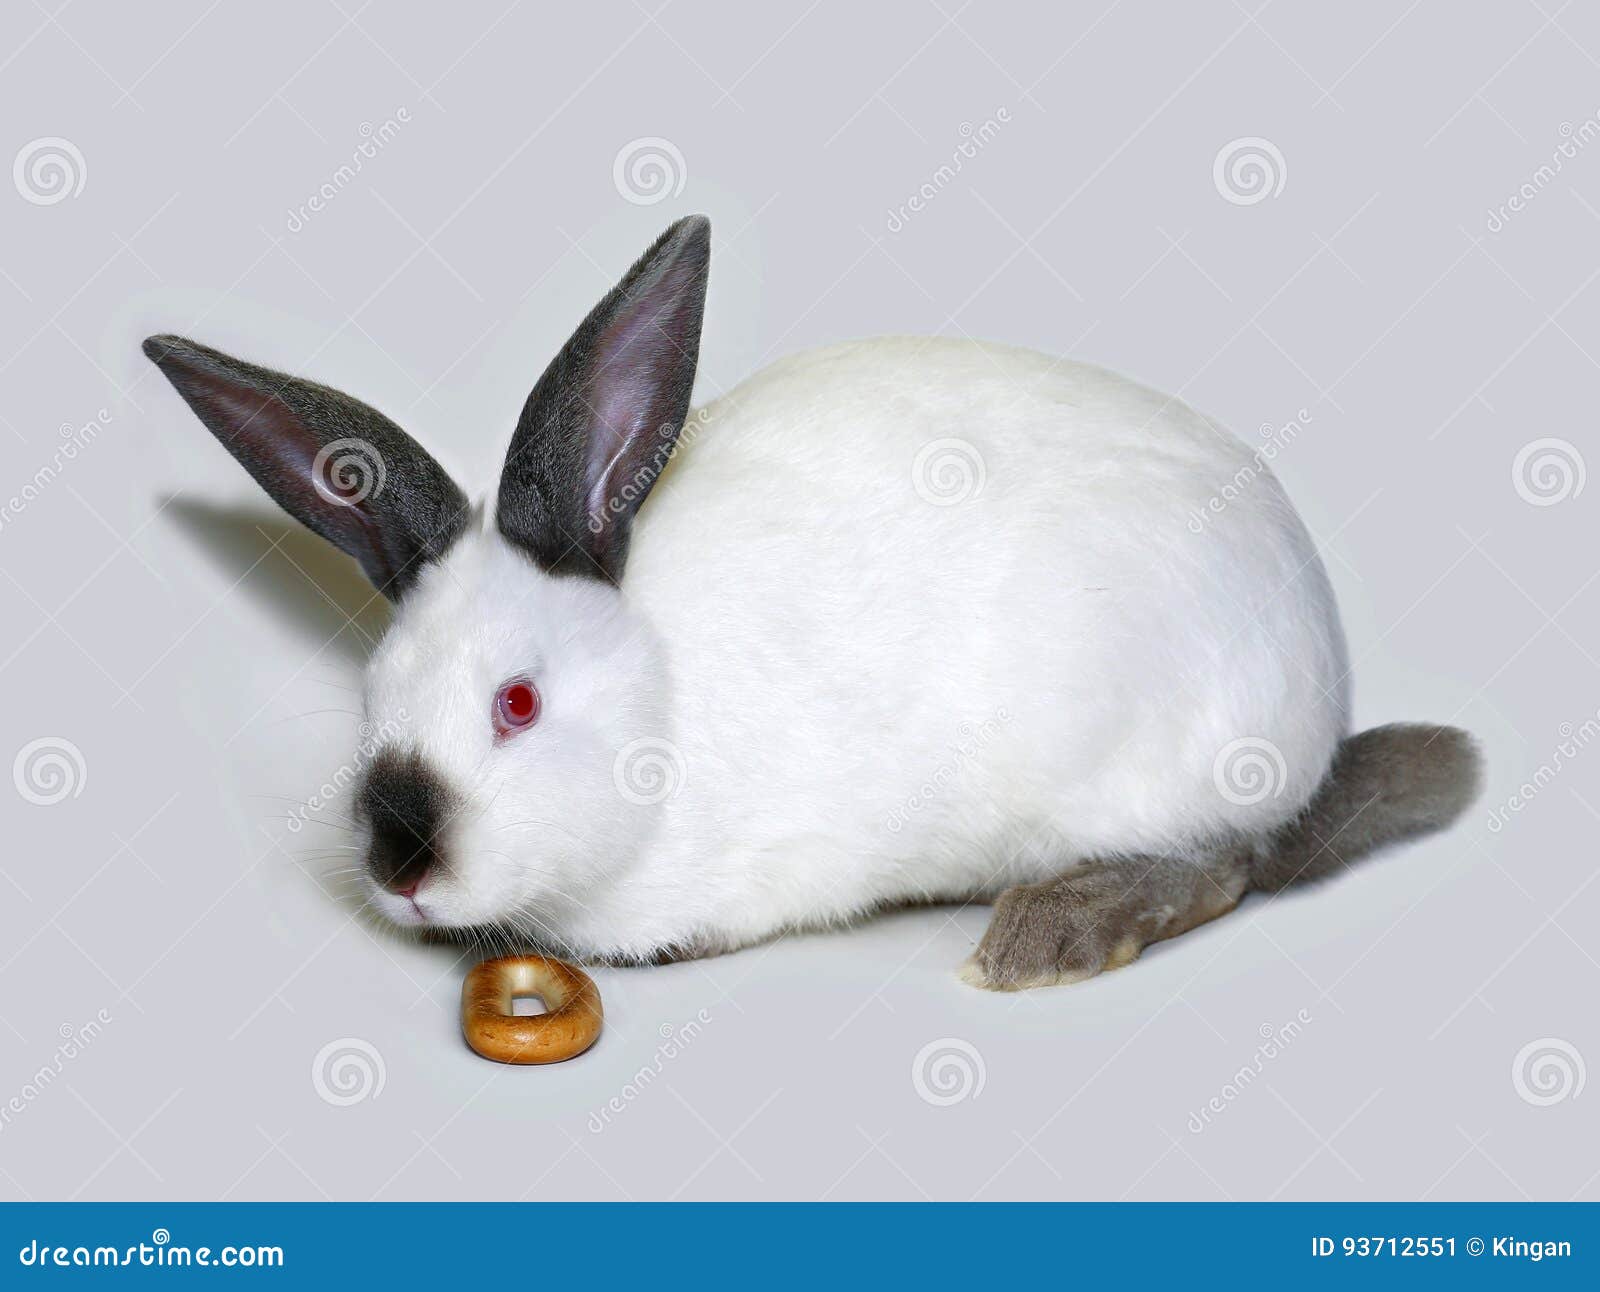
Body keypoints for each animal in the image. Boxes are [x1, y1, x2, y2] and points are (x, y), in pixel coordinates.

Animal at [142, 215, 1481, 990]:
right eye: (372, 697)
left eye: (515, 704)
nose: (403, 866)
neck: (663, 710)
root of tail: (1320, 700)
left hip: (1176, 751)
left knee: (1227, 861)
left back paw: (1049, 931)